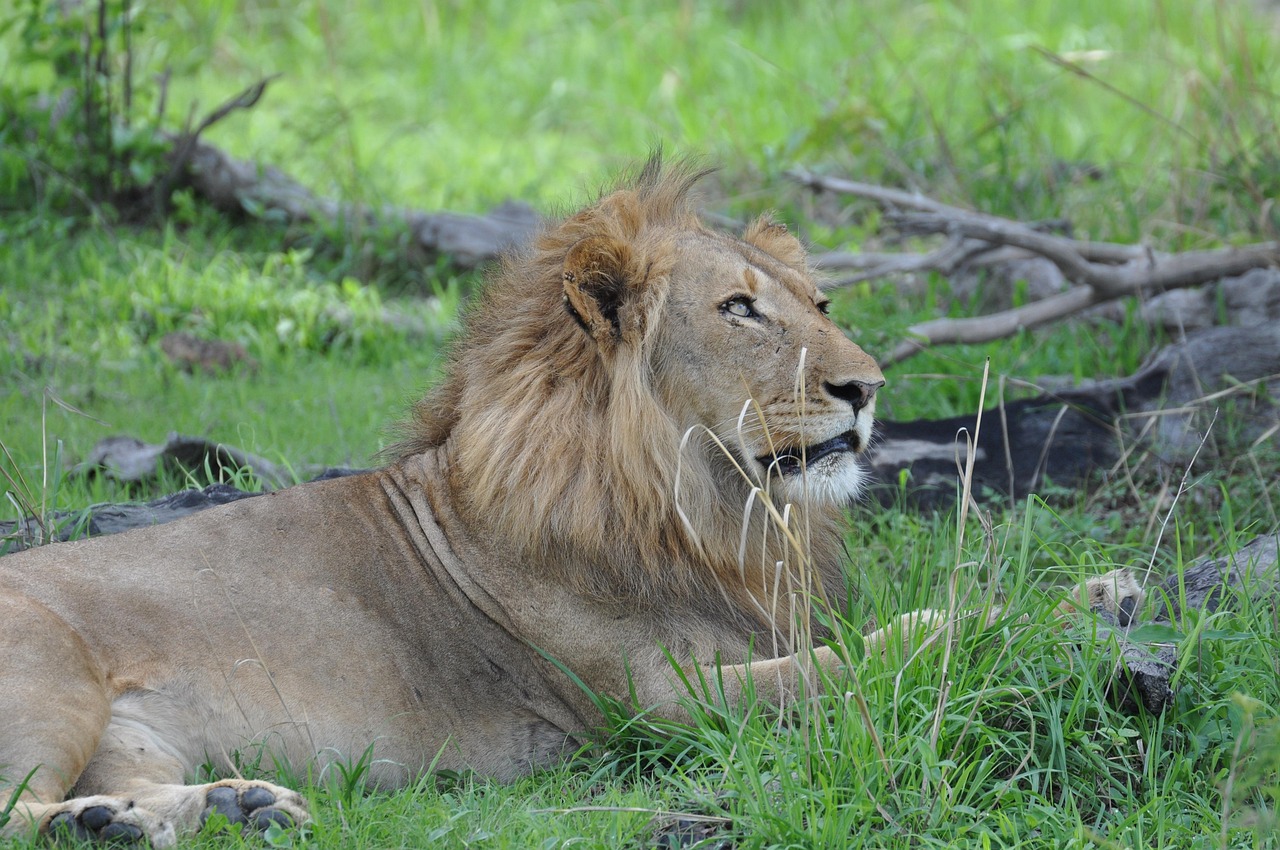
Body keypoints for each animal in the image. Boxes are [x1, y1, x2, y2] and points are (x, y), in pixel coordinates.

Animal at [0, 158, 1142, 846]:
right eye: (740, 310)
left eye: (819, 304)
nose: (866, 388)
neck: (710, 508)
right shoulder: (669, 706)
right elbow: (881, 650)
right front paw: (1047, 609)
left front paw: (1091, 595)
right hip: (52, 685)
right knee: (12, 815)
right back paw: (115, 823)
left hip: (136, 735)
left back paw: (216, 809)